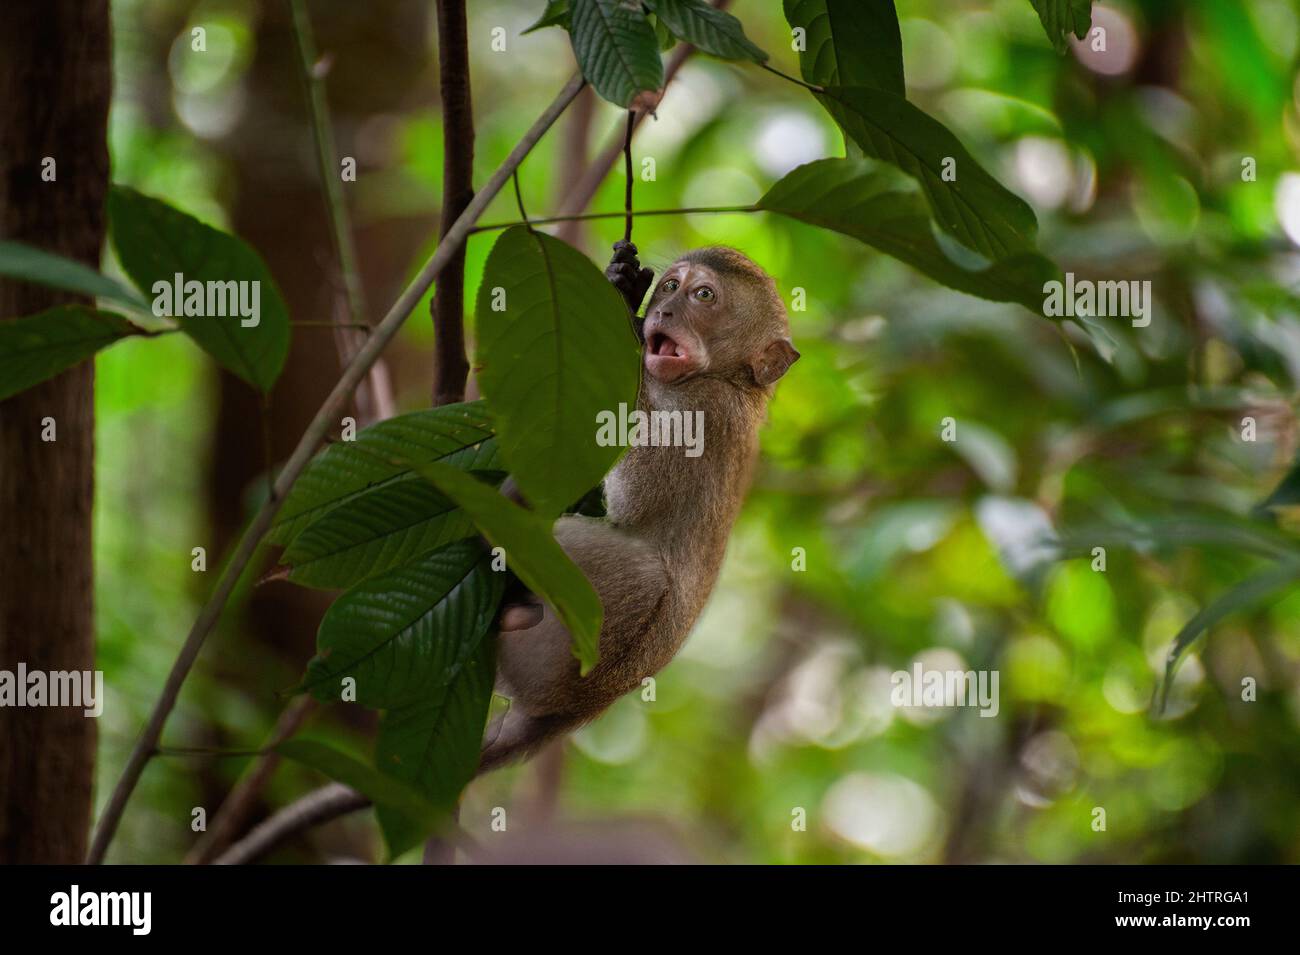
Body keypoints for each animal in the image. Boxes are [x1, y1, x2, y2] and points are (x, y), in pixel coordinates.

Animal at [480, 243, 799, 771]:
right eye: (671, 286)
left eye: (703, 295)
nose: (663, 311)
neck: (730, 379)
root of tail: (566, 713)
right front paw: (625, 284)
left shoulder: (703, 410)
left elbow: (636, 492)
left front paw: (622, 320)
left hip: (571, 646)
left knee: (630, 565)